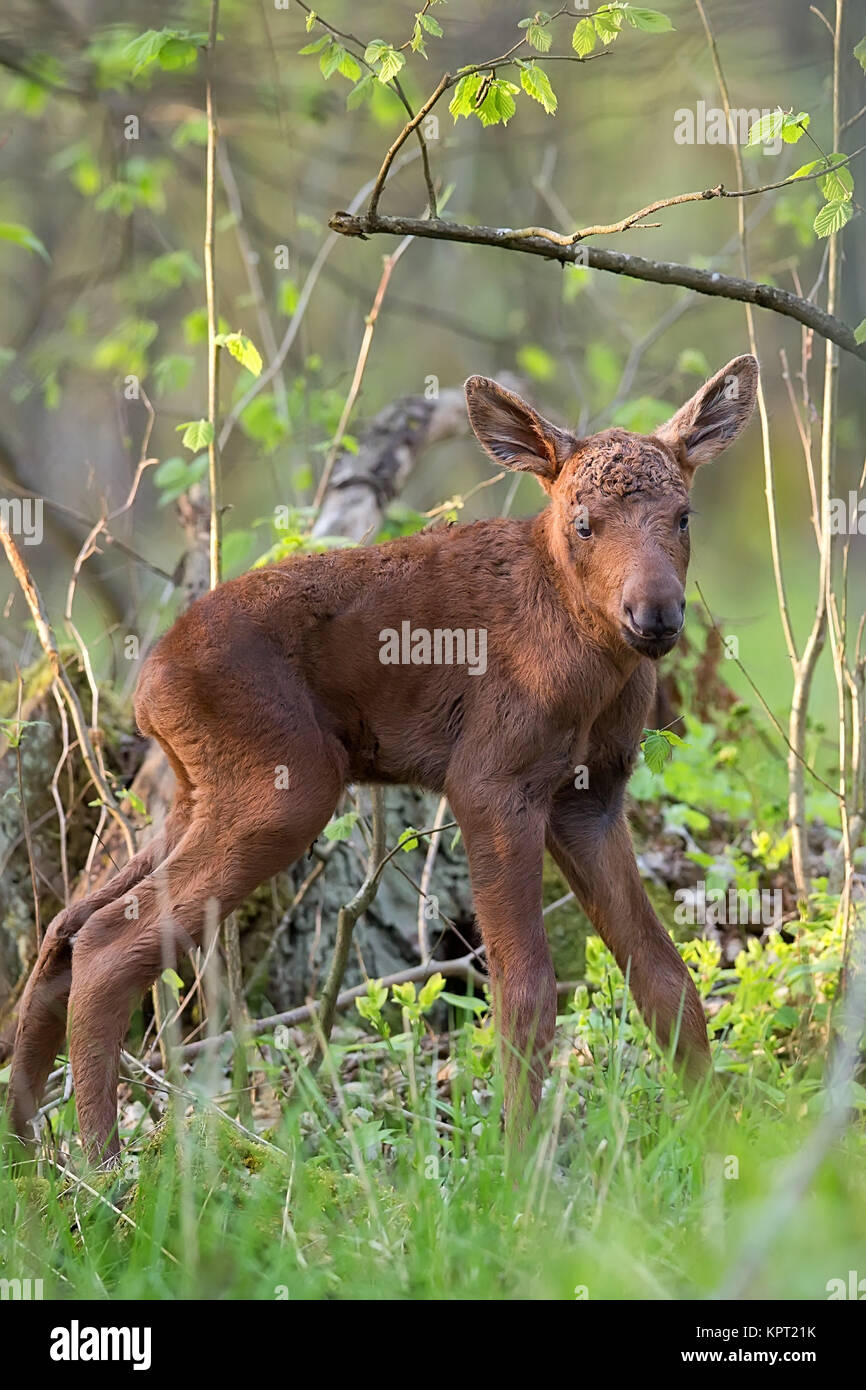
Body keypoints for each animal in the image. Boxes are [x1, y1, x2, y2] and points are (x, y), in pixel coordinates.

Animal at [7, 354, 758, 1165]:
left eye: (684, 516)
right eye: (583, 522)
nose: (655, 614)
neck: (595, 668)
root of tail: (147, 687)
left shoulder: (590, 800)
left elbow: (662, 974)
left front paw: (722, 1137)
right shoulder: (489, 779)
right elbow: (525, 987)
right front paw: (518, 1162)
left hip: (196, 794)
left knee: (68, 925)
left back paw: (28, 1146)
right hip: (285, 787)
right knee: (107, 942)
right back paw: (101, 1161)